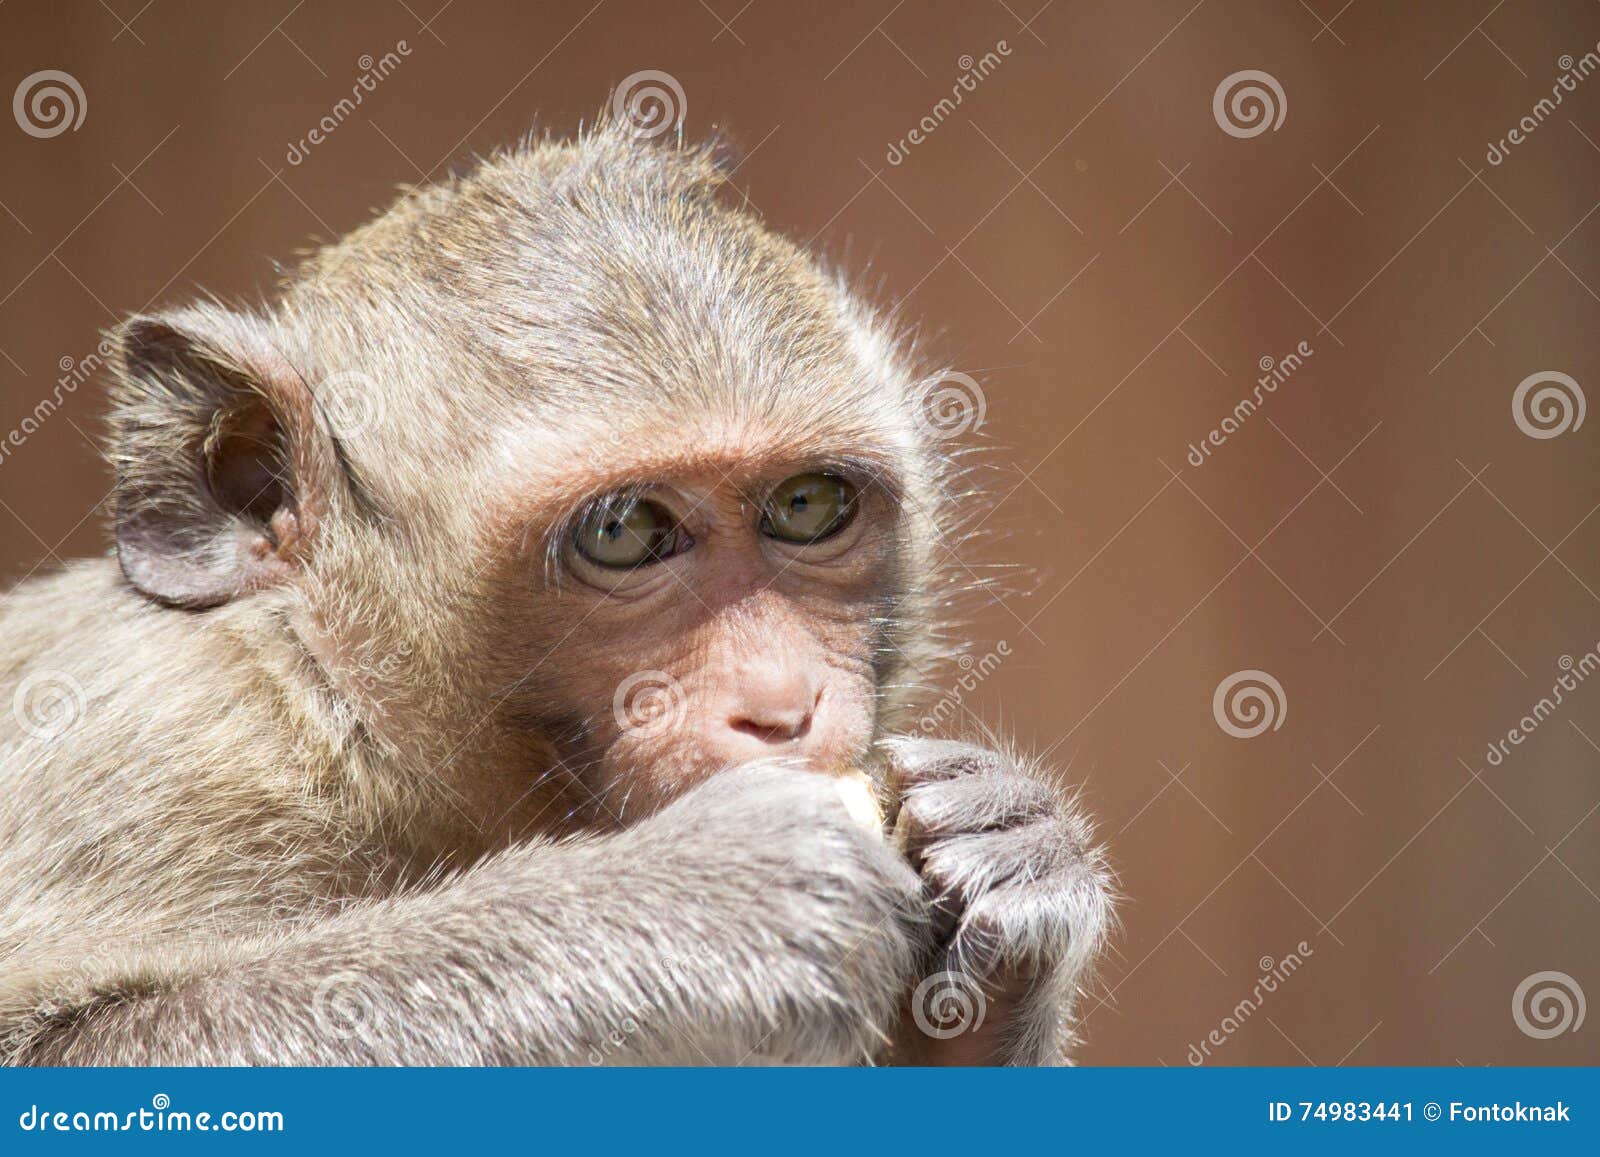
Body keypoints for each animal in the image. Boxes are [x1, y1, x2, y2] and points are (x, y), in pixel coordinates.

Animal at [0, 114, 1112, 1066]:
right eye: (624, 531)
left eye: (806, 505)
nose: (783, 704)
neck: (334, 699)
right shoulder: (153, 747)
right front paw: (699, 905)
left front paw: (1012, 846)